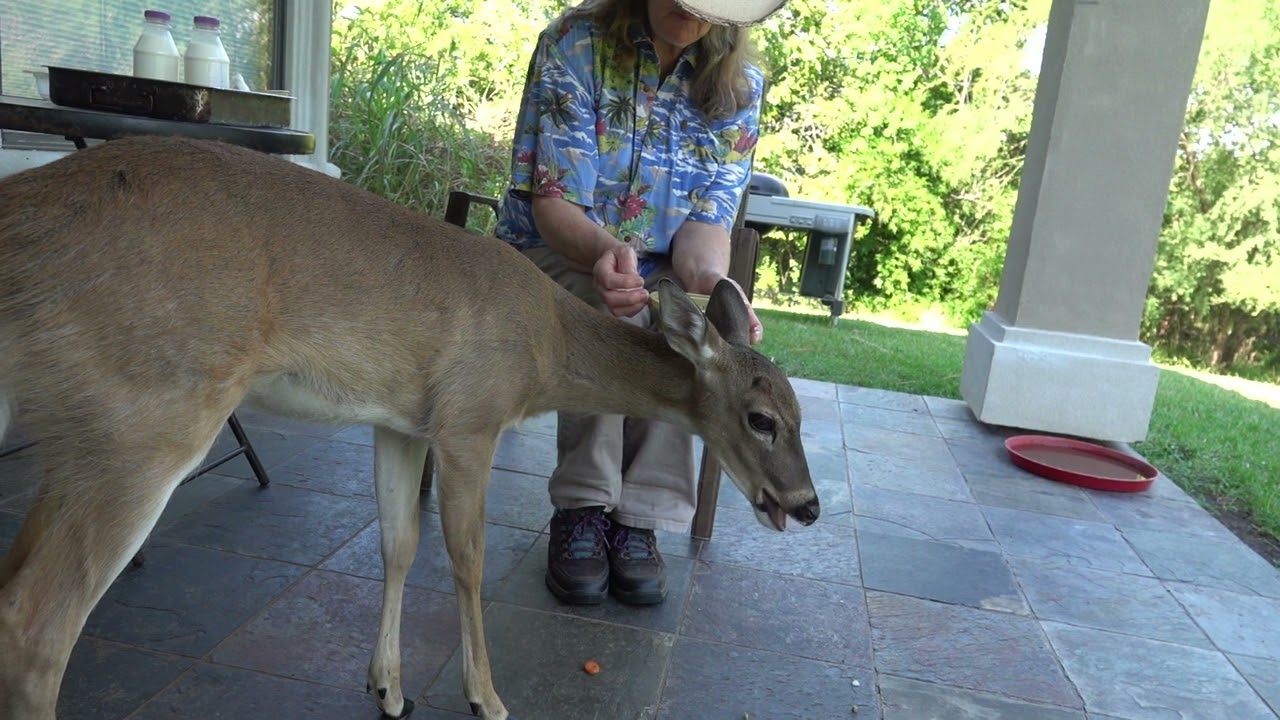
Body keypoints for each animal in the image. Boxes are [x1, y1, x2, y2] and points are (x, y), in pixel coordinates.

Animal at [0, 135, 819, 720]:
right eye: (762, 418)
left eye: (800, 413)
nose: (808, 505)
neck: (545, 347)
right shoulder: (470, 418)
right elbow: (466, 559)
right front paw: (486, 697)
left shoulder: (401, 423)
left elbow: (398, 545)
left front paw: (388, 689)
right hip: (146, 411)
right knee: (35, 625)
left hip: (82, 430)